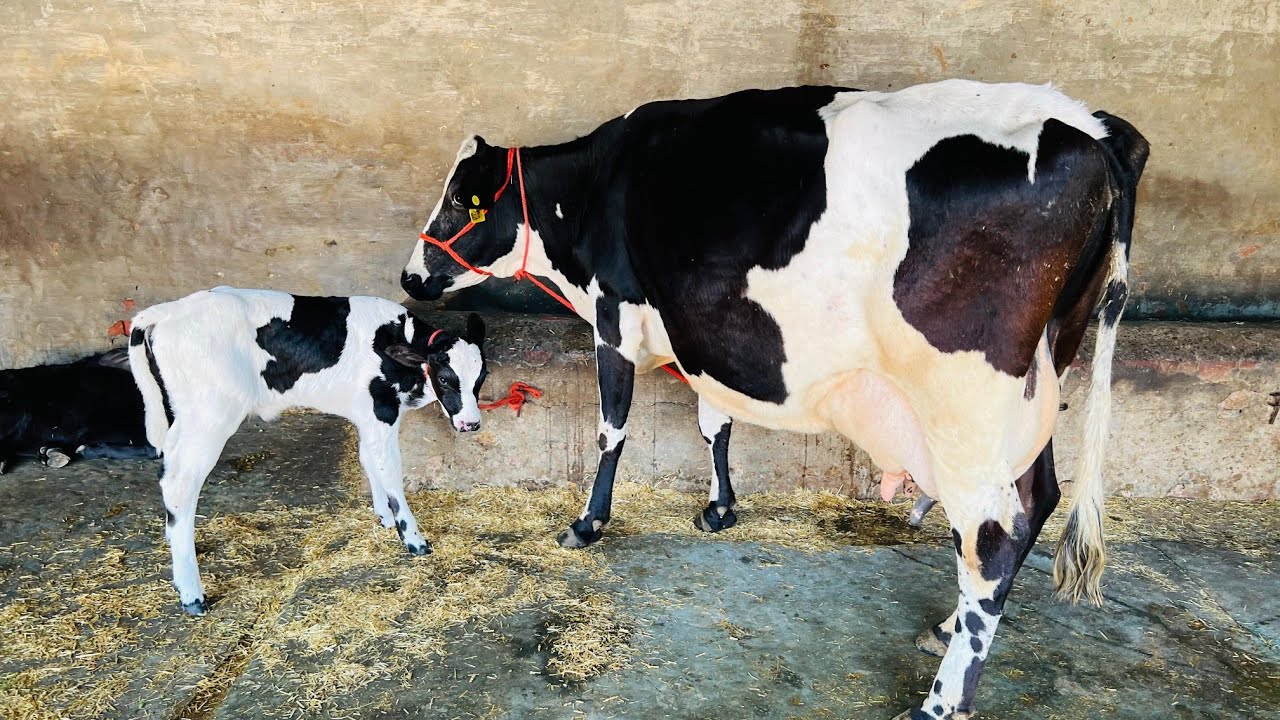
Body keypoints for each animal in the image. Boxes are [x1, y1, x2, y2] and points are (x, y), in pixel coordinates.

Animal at [128, 287, 488, 615]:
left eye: (481, 376)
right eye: (445, 378)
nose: (471, 423)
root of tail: (169, 310)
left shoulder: (366, 415)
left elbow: (370, 460)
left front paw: (383, 517)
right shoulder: (382, 410)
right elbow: (391, 471)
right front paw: (412, 538)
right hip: (211, 417)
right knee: (179, 483)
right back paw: (192, 594)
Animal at [400, 79, 1149, 718]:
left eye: (458, 200)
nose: (410, 275)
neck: (592, 191)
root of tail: (1091, 127)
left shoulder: (615, 318)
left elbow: (613, 430)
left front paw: (588, 523)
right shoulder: (702, 336)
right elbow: (715, 424)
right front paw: (720, 507)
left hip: (969, 398)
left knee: (991, 539)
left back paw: (940, 702)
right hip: (1037, 382)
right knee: (1036, 498)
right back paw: (946, 628)